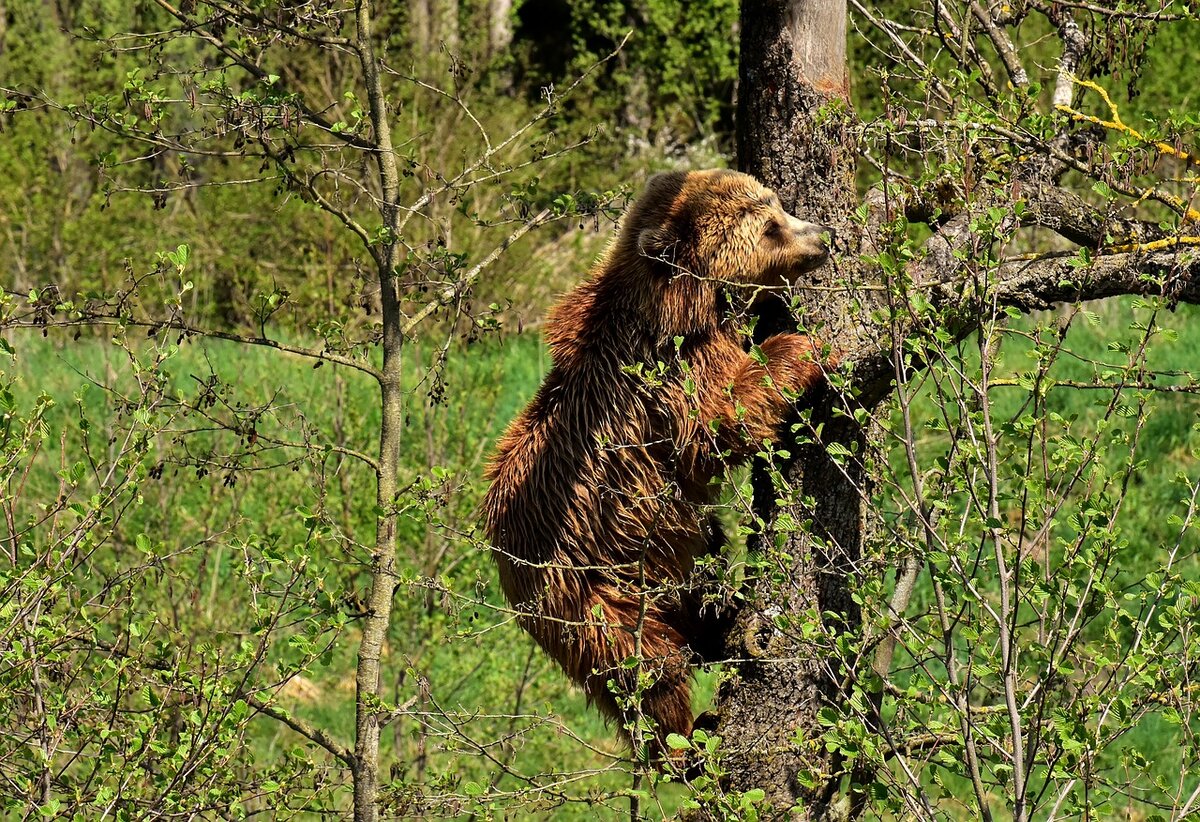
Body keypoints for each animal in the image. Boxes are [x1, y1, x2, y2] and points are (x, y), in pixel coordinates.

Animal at [482, 170, 830, 758]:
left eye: (778, 206)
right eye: (769, 227)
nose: (822, 237)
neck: (681, 307)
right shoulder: (666, 378)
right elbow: (718, 424)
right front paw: (799, 346)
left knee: (697, 571)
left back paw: (720, 621)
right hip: (591, 592)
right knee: (647, 669)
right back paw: (682, 742)